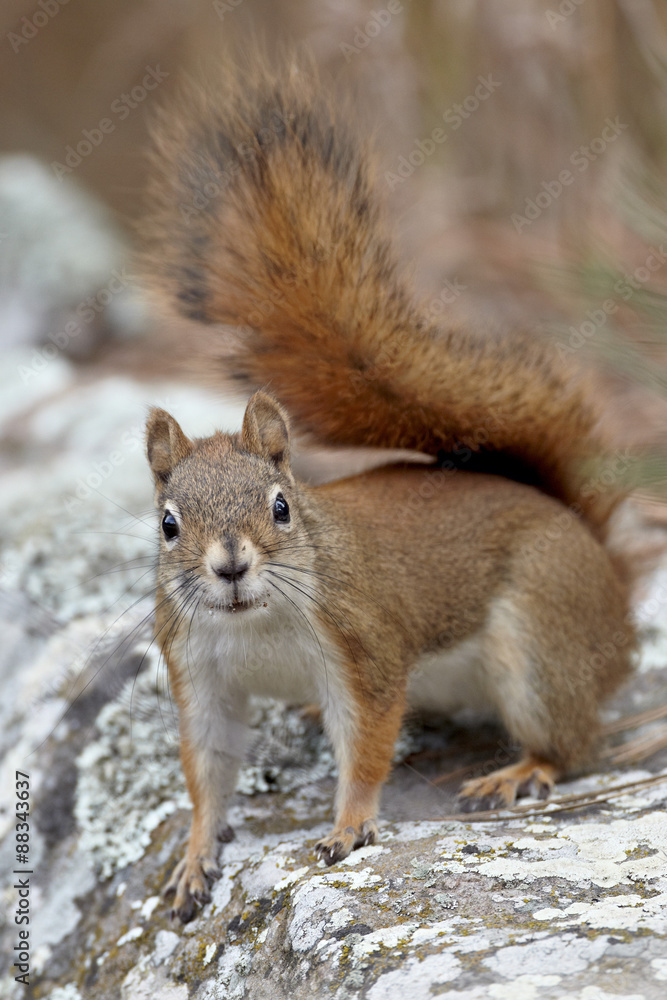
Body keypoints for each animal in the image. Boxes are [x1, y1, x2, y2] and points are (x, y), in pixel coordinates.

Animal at [142, 56, 634, 922]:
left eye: (281, 506)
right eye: (168, 524)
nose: (228, 567)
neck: (252, 625)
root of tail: (604, 568)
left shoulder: (362, 647)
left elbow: (367, 744)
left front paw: (346, 827)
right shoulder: (197, 672)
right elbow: (206, 769)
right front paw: (195, 858)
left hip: (542, 640)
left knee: (571, 742)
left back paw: (519, 771)